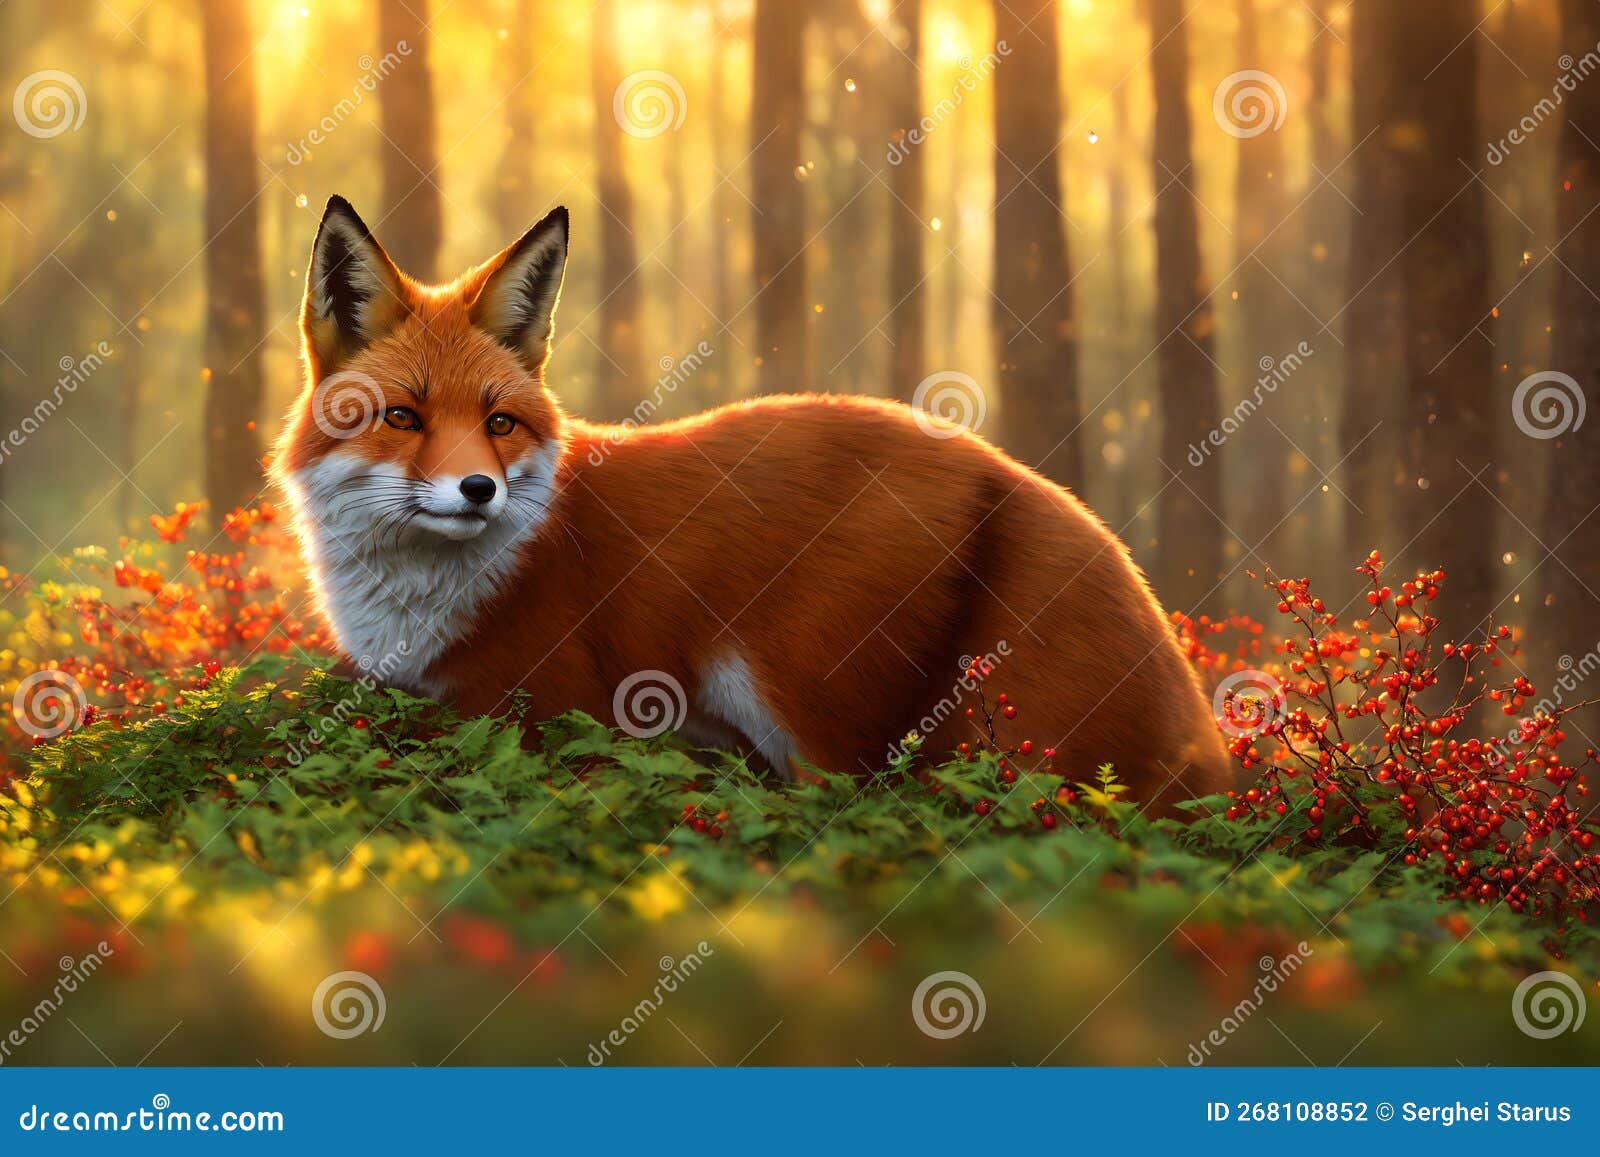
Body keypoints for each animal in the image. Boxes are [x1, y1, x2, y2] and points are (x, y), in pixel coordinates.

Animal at [273, 196, 1236, 811]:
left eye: (498, 423)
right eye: (404, 417)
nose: (479, 489)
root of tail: (1005, 468)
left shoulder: (558, 709)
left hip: (802, 692)